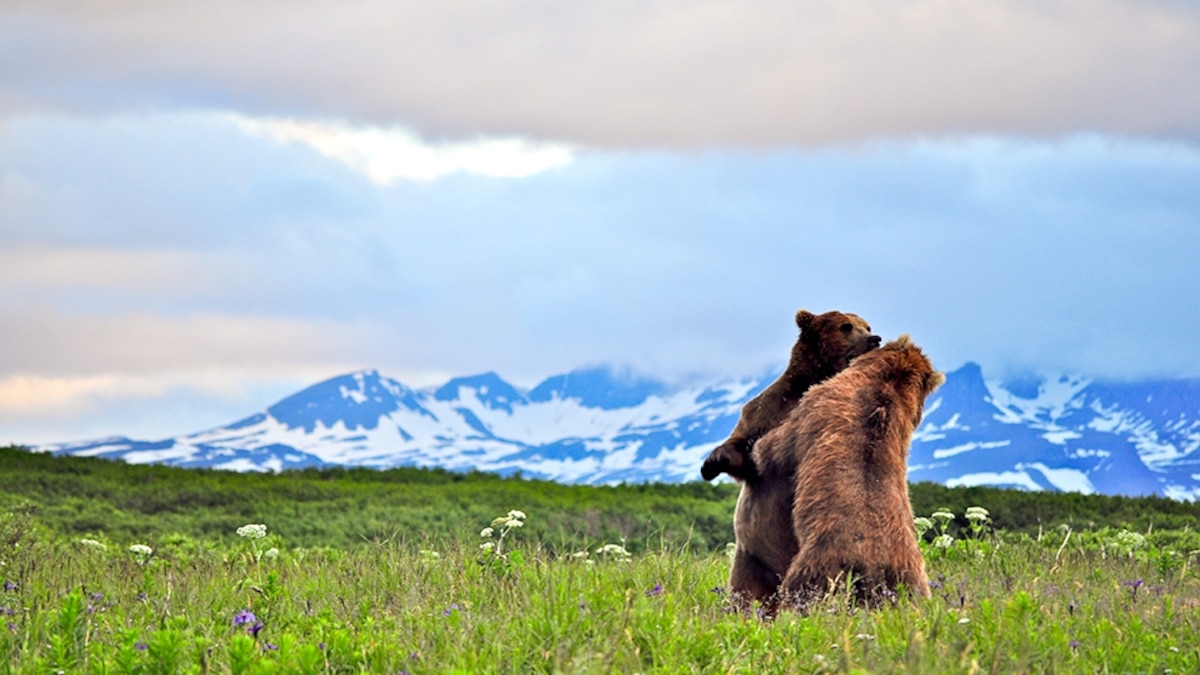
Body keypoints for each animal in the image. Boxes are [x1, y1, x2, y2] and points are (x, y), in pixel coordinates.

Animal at [735, 335, 943, 614]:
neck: (885, 384)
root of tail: (873, 565)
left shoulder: (814, 406)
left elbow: (779, 447)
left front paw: (756, 447)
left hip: (819, 564)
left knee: (800, 591)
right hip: (909, 575)